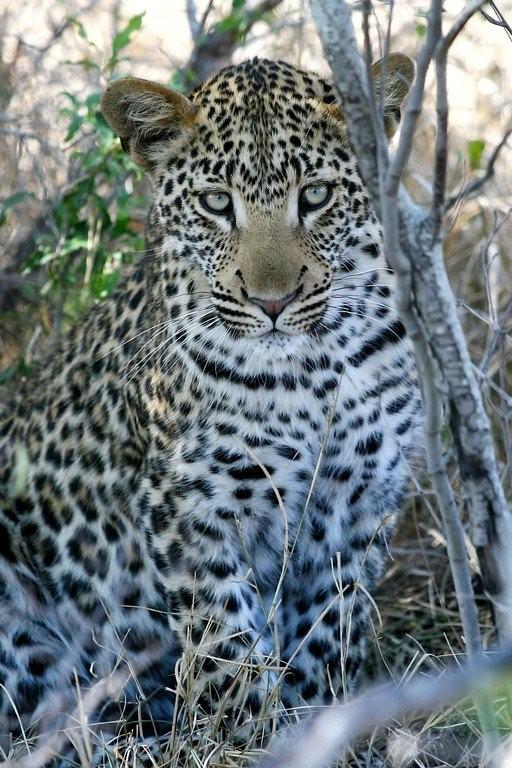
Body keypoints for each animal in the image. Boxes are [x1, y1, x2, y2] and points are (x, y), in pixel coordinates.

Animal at [0, 54, 422, 761]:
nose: (273, 302)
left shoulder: (360, 504)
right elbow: (225, 647)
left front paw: (314, 724)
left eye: (316, 196)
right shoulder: (192, 506)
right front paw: (242, 743)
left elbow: (328, 632)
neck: (314, 373)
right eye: (217, 204)